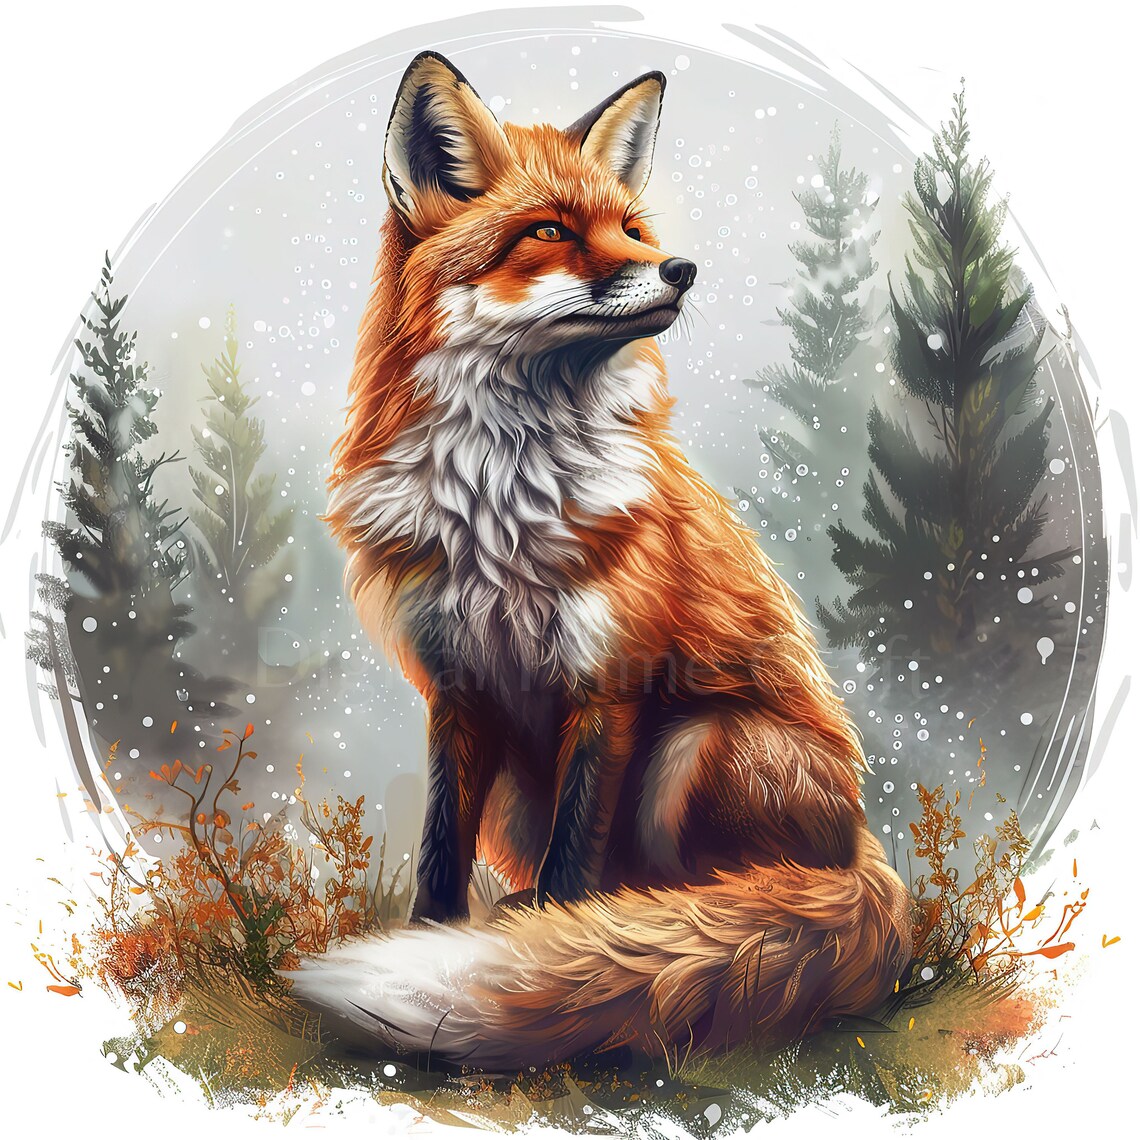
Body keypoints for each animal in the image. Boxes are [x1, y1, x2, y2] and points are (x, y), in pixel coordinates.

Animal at [289, 50, 913, 1069]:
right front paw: (434, 938)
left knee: (716, 890)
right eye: (549, 232)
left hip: (699, 743)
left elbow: (576, 855)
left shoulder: (608, 683)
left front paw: (557, 947)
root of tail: (863, 848)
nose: (683, 268)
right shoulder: (458, 688)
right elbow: (439, 849)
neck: (502, 501)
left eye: (632, 229)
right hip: (525, 785)